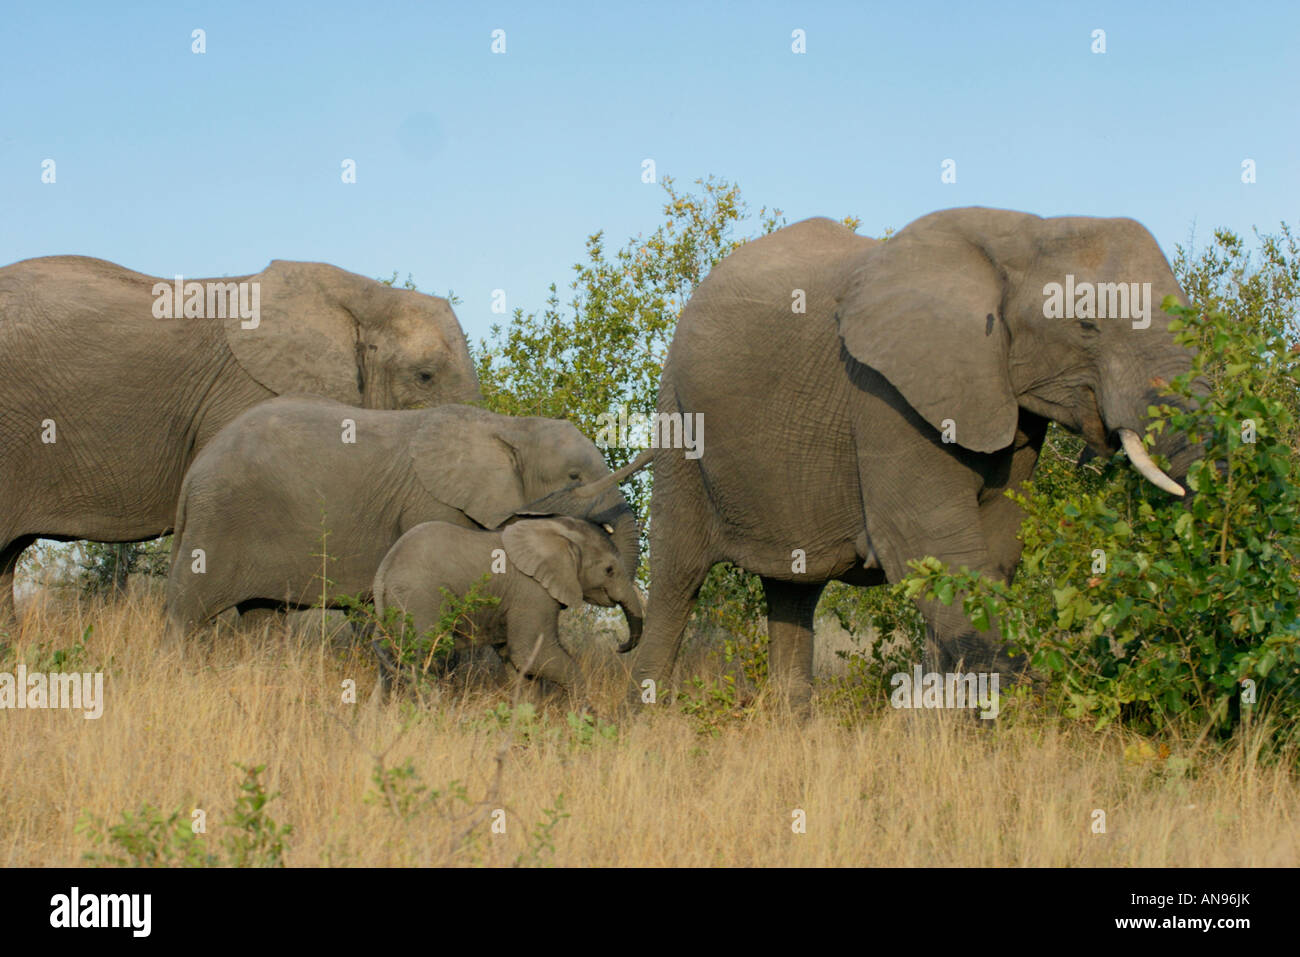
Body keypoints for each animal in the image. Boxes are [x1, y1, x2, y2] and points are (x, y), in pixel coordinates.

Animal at [164, 396, 647, 638]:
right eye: (574, 476)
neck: (509, 426)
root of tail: (192, 474)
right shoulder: (430, 501)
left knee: (261, 616)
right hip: (219, 518)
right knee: (187, 607)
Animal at [372, 516, 645, 697]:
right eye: (609, 570)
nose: (619, 646)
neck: (556, 530)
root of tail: (383, 573)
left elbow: (520, 666)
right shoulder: (533, 590)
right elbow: (531, 652)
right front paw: (587, 717)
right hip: (420, 598)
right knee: (428, 657)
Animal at [629, 208, 1201, 712]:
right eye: (1086, 324)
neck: (1025, 233)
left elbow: (990, 553)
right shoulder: (885, 394)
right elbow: (930, 547)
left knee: (793, 591)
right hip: (679, 418)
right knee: (677, 579)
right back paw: (645, 730)